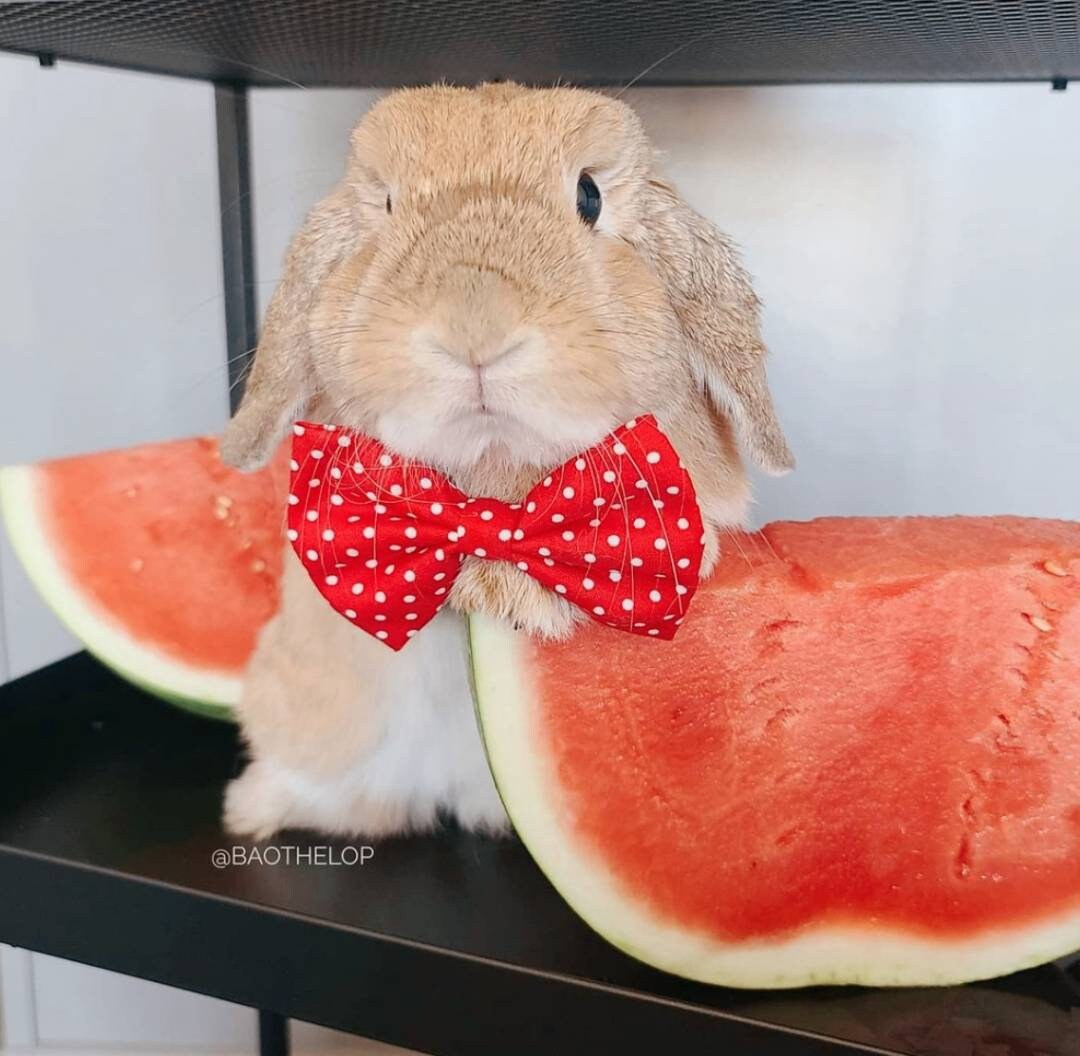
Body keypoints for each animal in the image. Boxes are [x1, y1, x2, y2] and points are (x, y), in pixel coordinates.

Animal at [219, 82, 793, 841]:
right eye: (388, 206)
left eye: (589, 197)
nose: (475, 326)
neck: (493, 466)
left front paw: (522, 589)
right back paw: (253, 808)